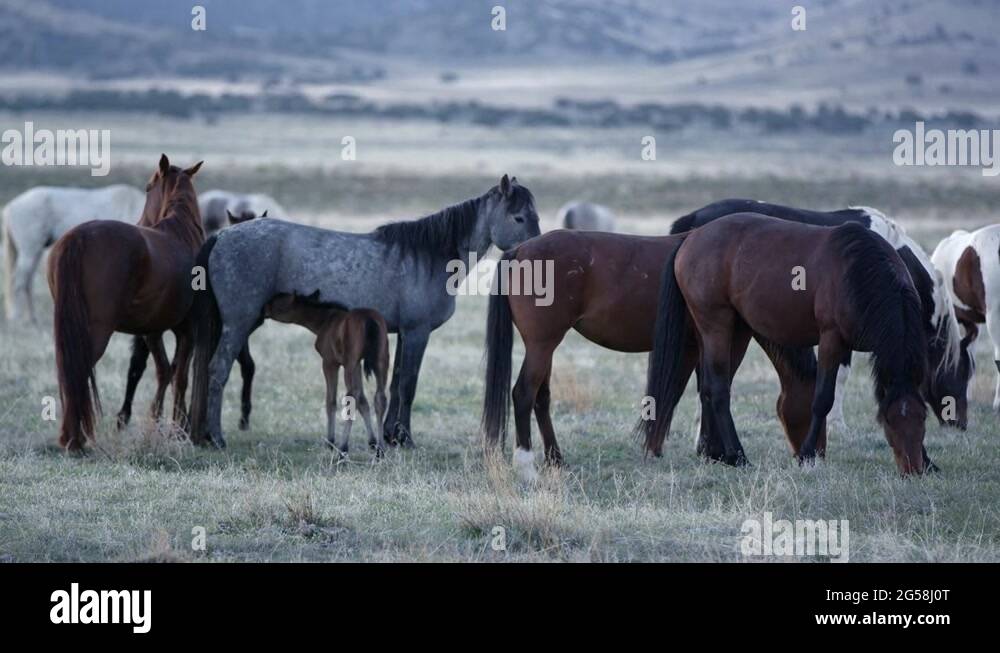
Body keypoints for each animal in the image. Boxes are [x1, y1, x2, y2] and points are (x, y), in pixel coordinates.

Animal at [3, 184, 145, 322]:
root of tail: (10, 207)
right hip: (29, 251)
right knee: (18, 282)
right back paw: (16, 317)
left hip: (35, 252)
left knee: (27, 282)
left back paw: (32, 318)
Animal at [47, 155, 205, 452]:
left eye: (147, 188)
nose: (141, 220)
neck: (181, 234)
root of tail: (78, 237)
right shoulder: (186, 332)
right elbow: (178, 377)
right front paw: (179, 429)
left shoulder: (154, 331)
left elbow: (164, 371)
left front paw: (158, 424)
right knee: (78, 372)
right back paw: (75, 439)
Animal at [264, 291, 389, 457]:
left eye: (278, 300)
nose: (264, 309)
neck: (326, 321)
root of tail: (369, 319)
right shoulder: (358, 365)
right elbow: (363, 401)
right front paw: (373, 442)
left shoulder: (330, 363)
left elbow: (331, 401)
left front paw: (330, 442)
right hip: (380, 361)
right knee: (379, 398)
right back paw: (380, 450)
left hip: (350, 364)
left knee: (351, 396)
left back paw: (343, 449)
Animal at [481, 229, 824, 482]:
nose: (816, 453)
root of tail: (519, 251)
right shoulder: (725, 339)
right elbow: (704, 390)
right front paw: (718, 452)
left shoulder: (696, 346)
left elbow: (699, 392)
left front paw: (706, 450)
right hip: (541, 344)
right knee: (523, 393)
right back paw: (527, 466)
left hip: (545, 346)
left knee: (541, 397)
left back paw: (556, 459)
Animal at [643, 213, 931, 476]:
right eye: (889, 421)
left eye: (923, 418)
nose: (913, 469)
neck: (860, 273)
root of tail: (691, 238)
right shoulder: (831, 339)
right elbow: (822, 399)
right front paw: (807, 454)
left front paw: (930, 461)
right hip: (716, 324)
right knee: (718, 389)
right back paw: (738, 455)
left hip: (736, 330)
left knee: (709, 388)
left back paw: (718, 454)